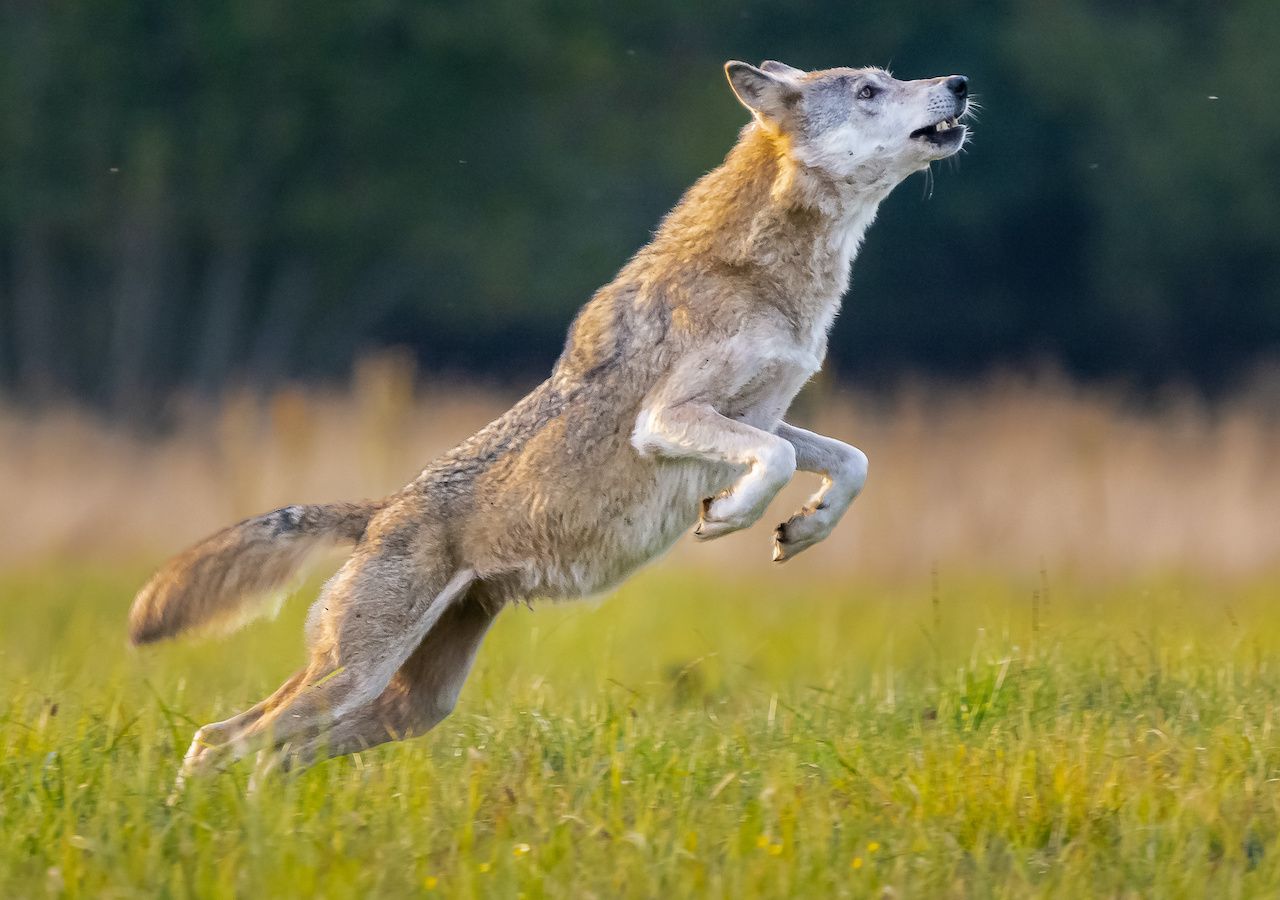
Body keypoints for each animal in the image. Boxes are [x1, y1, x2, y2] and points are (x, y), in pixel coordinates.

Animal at [130, 60, 971, 780]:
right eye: (868, 90)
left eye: (892, 77)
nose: (960, 83)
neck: (781, 274)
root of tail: (381, 510)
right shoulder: (669, 419)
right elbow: (778, 463)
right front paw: (729, 516)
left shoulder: (768, 413)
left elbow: (849, 460)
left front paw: (802, 530)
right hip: (355, 679)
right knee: (223, 740)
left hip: (406, 707)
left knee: (254, 748)